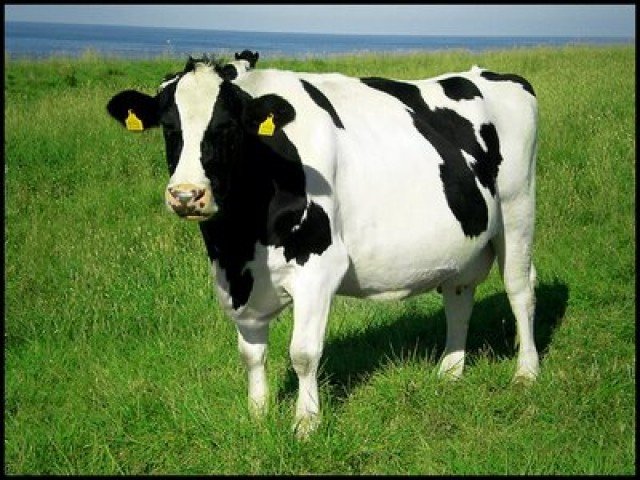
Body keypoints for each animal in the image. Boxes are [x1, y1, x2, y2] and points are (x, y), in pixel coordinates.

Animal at [106, 51, 539, 438]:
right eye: (169, 128)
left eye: (227, 128)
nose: (186, 195)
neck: (240, 240)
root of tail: (489, 73)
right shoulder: (236, 279)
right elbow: (251, 354)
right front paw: (257, 415)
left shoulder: (318, 269)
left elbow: (303, 352)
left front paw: (305, 424)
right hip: (462, 243)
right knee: (459, 297)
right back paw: (449, 372)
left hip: (518, 209)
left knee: (520, 289)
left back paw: (526, 372)